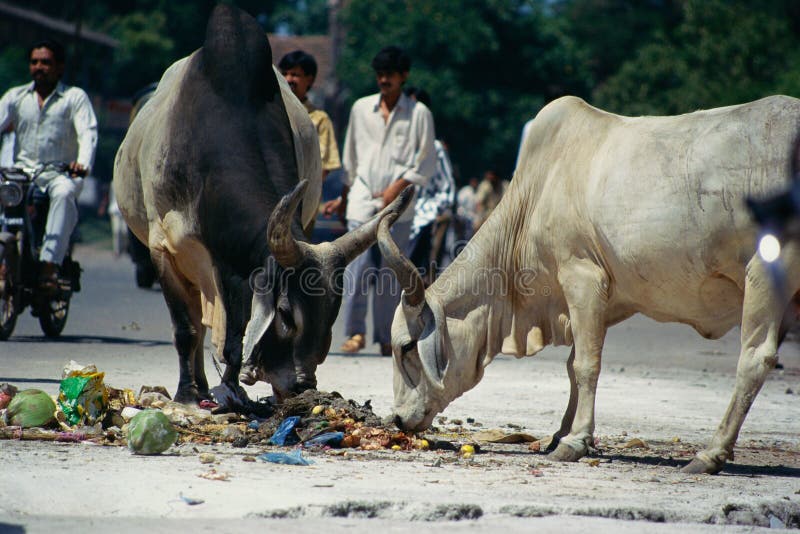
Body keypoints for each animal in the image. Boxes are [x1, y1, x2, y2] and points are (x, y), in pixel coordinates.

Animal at [113, 5, 412, 412]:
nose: (302, 385)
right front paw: (189, 394)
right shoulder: (164, 251)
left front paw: (233, 390)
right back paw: (199, 387)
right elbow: (187, 328)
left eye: (331, 314)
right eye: (285, 314)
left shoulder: (240, 266)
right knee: (196, 323)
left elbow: (236, 334)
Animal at [378, 94, 800, 474]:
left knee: (755, 359)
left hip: (766, 270)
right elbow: (572, 364)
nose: (397, 419)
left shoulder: (582, 277)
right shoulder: (607, 298)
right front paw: (558, 435)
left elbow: (586, 364)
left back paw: (710, 454)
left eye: (405, 348)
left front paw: (575, 442)